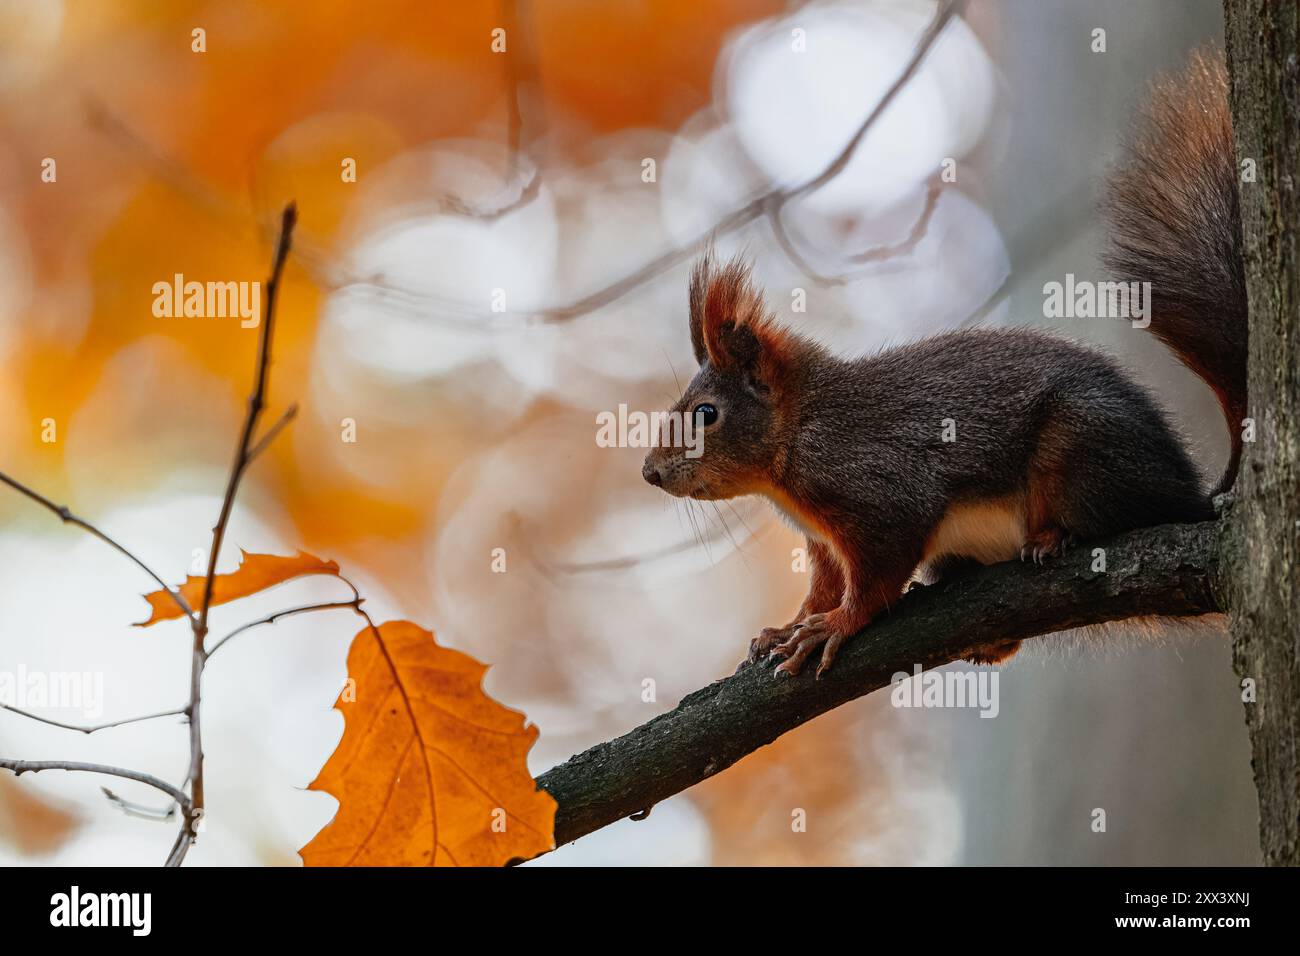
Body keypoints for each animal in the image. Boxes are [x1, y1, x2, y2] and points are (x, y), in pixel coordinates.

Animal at [641, 51, 1246, 678]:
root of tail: (1189, 495)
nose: (650, 473)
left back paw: (1053, 537)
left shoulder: (877, 490)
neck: (796, 436)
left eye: (706, 414)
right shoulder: (823, 542)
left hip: (1082, 444)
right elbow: (824, 584)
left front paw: (834, 625)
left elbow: (876, 575)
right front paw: (789, 626)